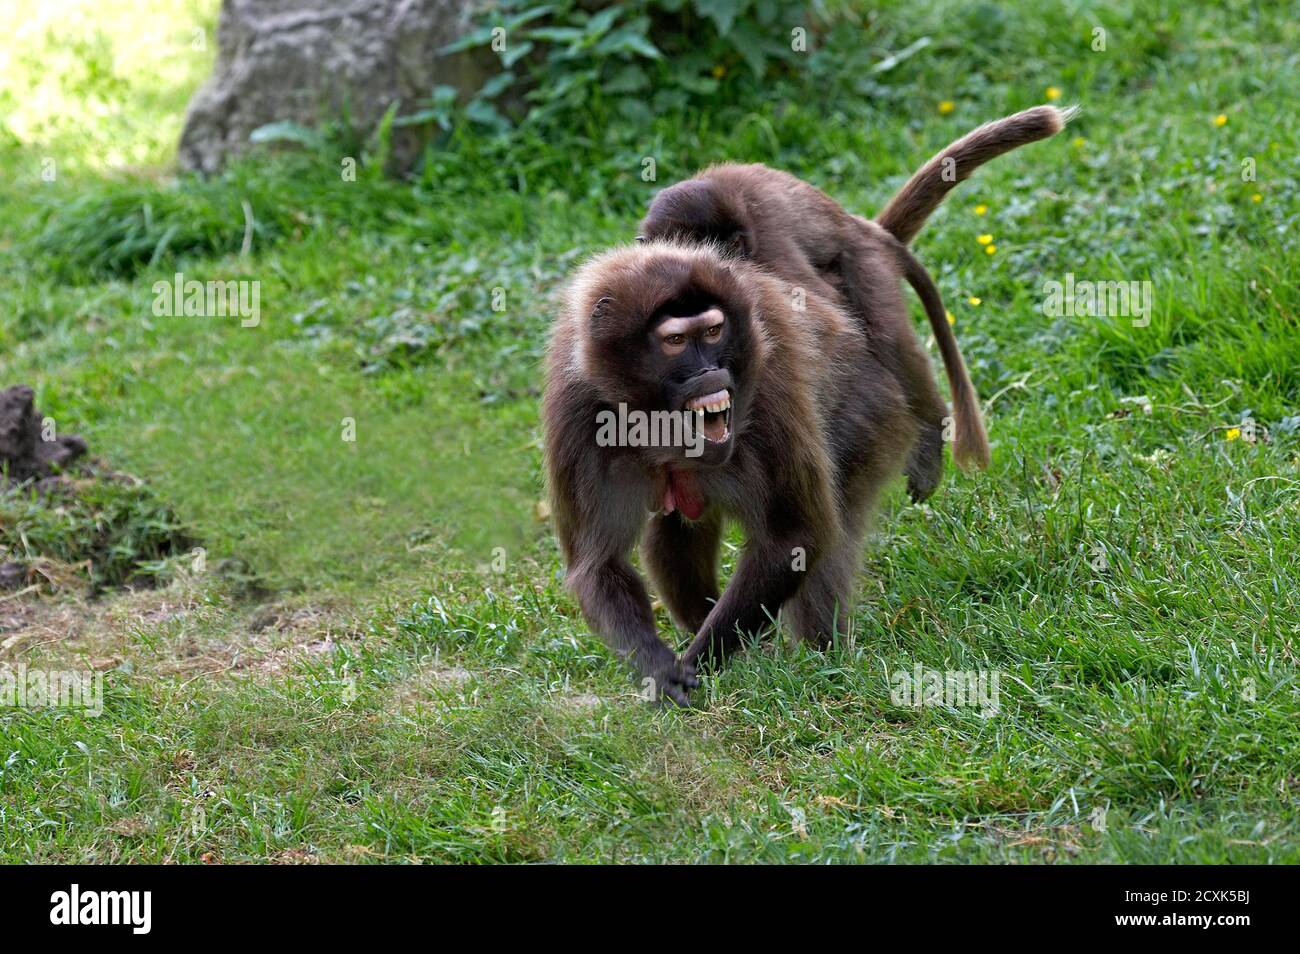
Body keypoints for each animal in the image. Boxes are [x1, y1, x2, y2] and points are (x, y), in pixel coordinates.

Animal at [543, 240, 919, 704]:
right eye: (675, 341)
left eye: (712, 333)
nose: (710, 372)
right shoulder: (575, 407)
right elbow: (598, 564)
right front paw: (657, 666)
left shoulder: (768, 377)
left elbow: (793, 540)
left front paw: (699, 661)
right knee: (672, 532)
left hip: (867, 413)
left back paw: (823, 658)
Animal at [638, 104, 1074, 502]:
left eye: (731, 247)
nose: (729, 263)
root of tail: (866, 229)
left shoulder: (766, 242)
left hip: (868, 264)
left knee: (886, 338)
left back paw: (932, 428)